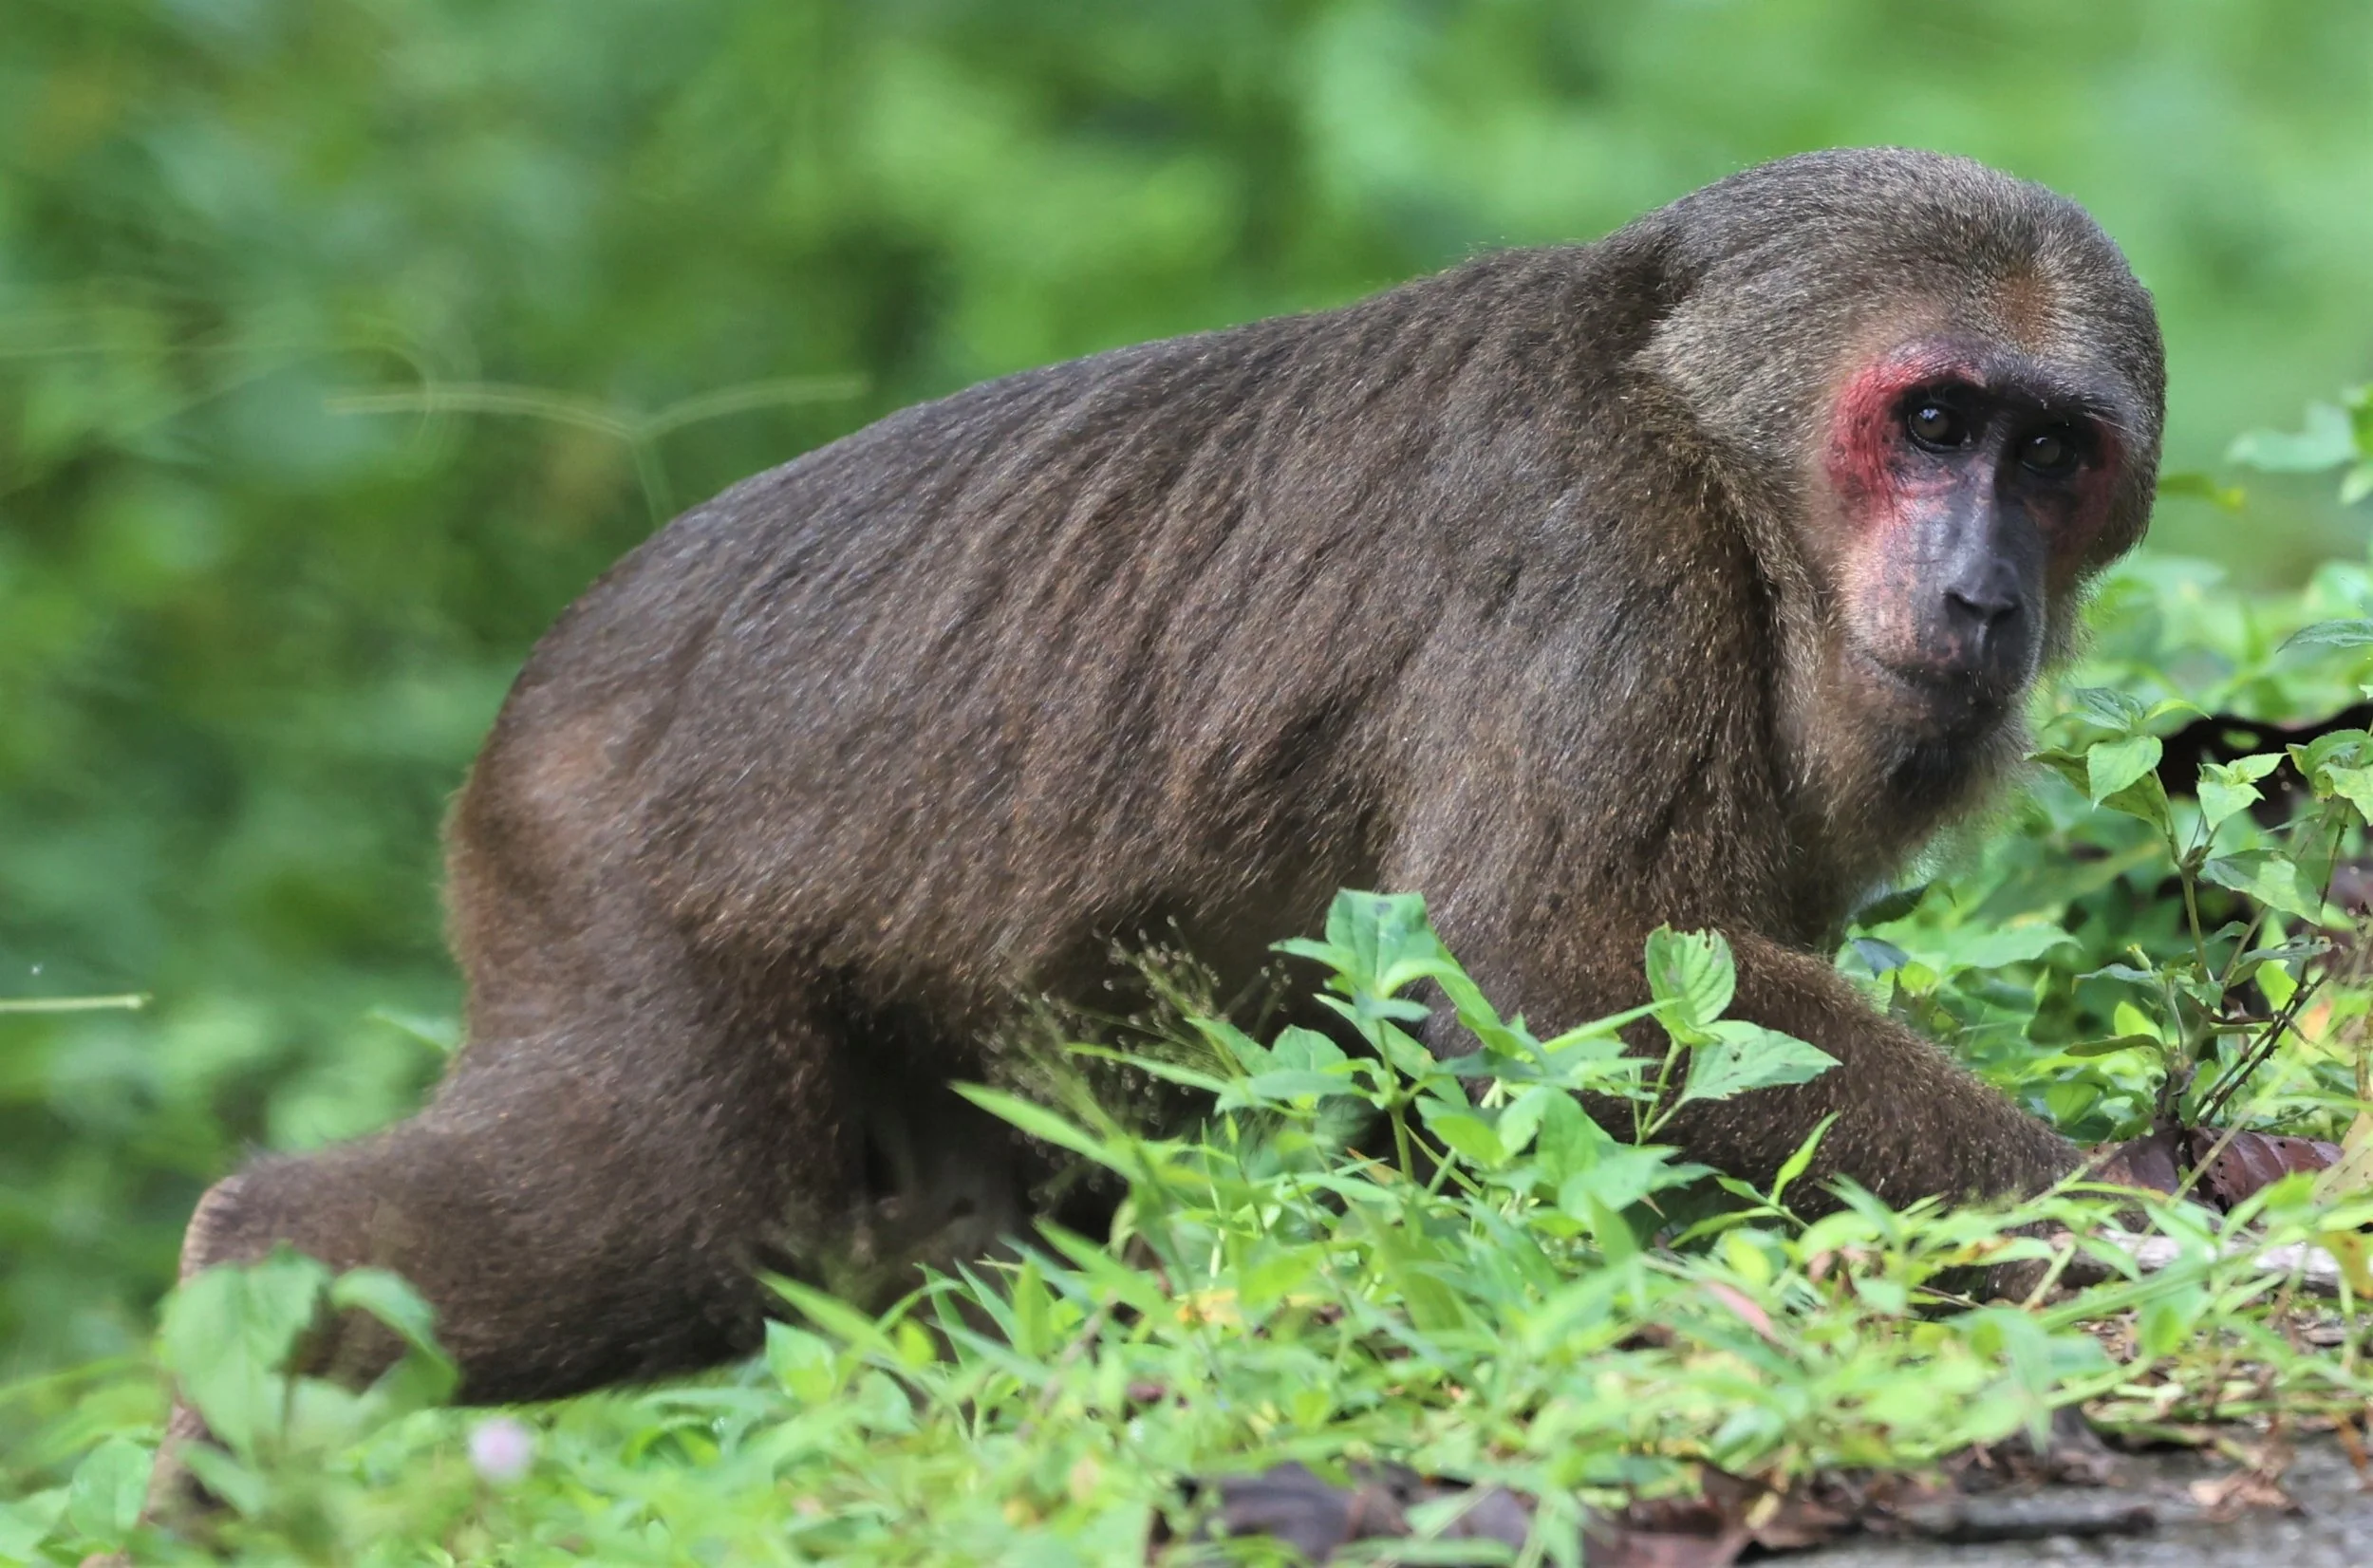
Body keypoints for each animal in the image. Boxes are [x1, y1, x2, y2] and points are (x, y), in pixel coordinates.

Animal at [163, 147, 2165, 1427]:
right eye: (1931, 424)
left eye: (2049, 452)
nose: (1984, 593)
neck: (1722, 473)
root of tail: (536, 693)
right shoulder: (1595, 544)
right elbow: (1557, 963)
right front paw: (2122, 1211)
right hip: (585, 862)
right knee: (677, 1206)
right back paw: (241, 1344)